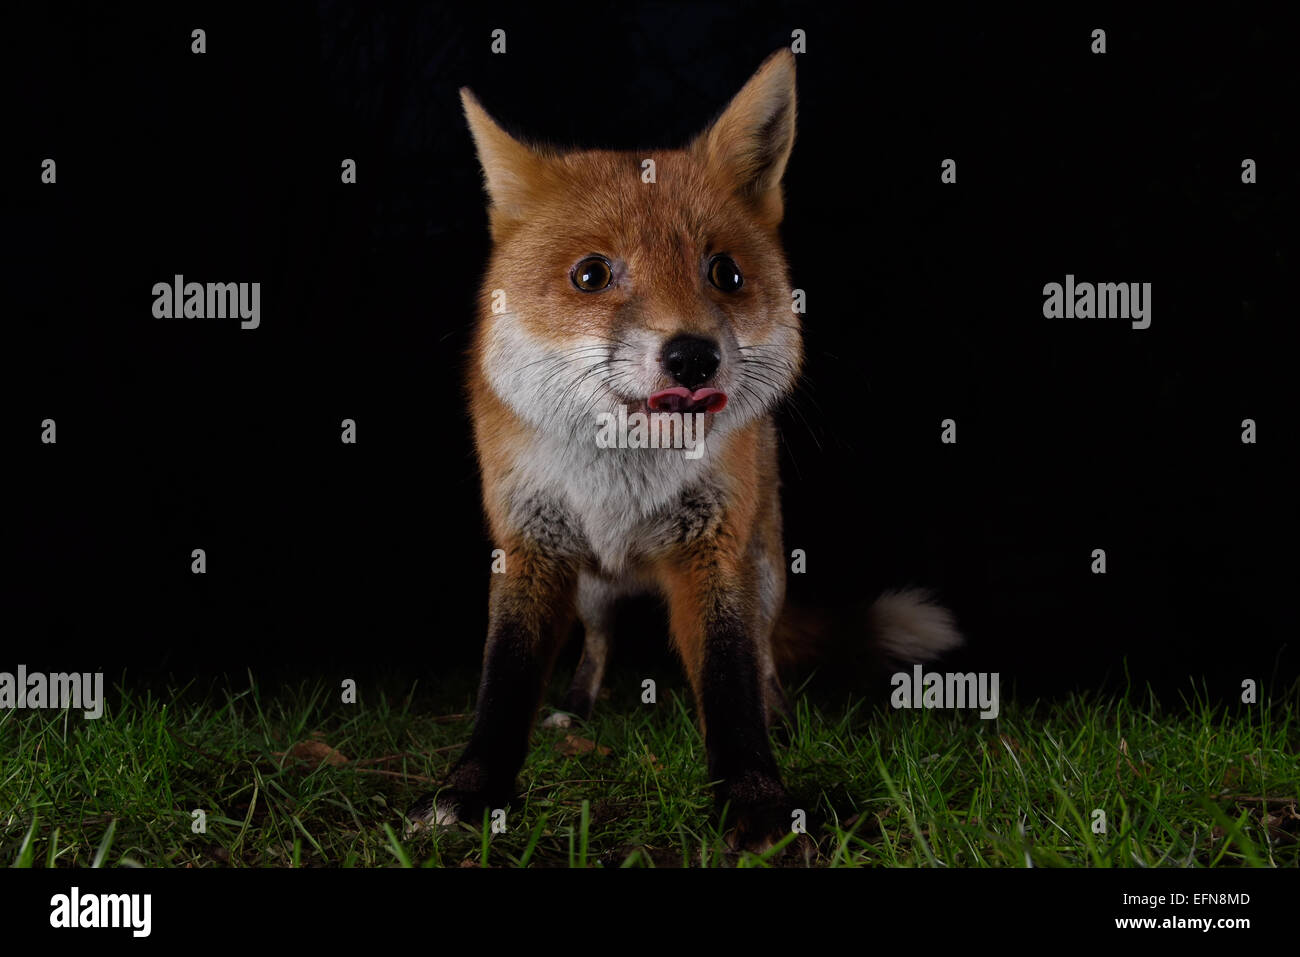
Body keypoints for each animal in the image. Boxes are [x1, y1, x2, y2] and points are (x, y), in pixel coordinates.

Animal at [406, 49, 962, 851]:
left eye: (725, 273)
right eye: (591, 274)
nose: (694, 357)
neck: (623, 476)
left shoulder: (713, 550)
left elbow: (730, 685)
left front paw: (759, 804)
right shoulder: (530, 543)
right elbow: (503, 683)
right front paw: (471, 791)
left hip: (765, 569)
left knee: (764, 652)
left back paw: (779, 717)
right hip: (592, 585)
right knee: (599, 643)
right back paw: (579, 705)